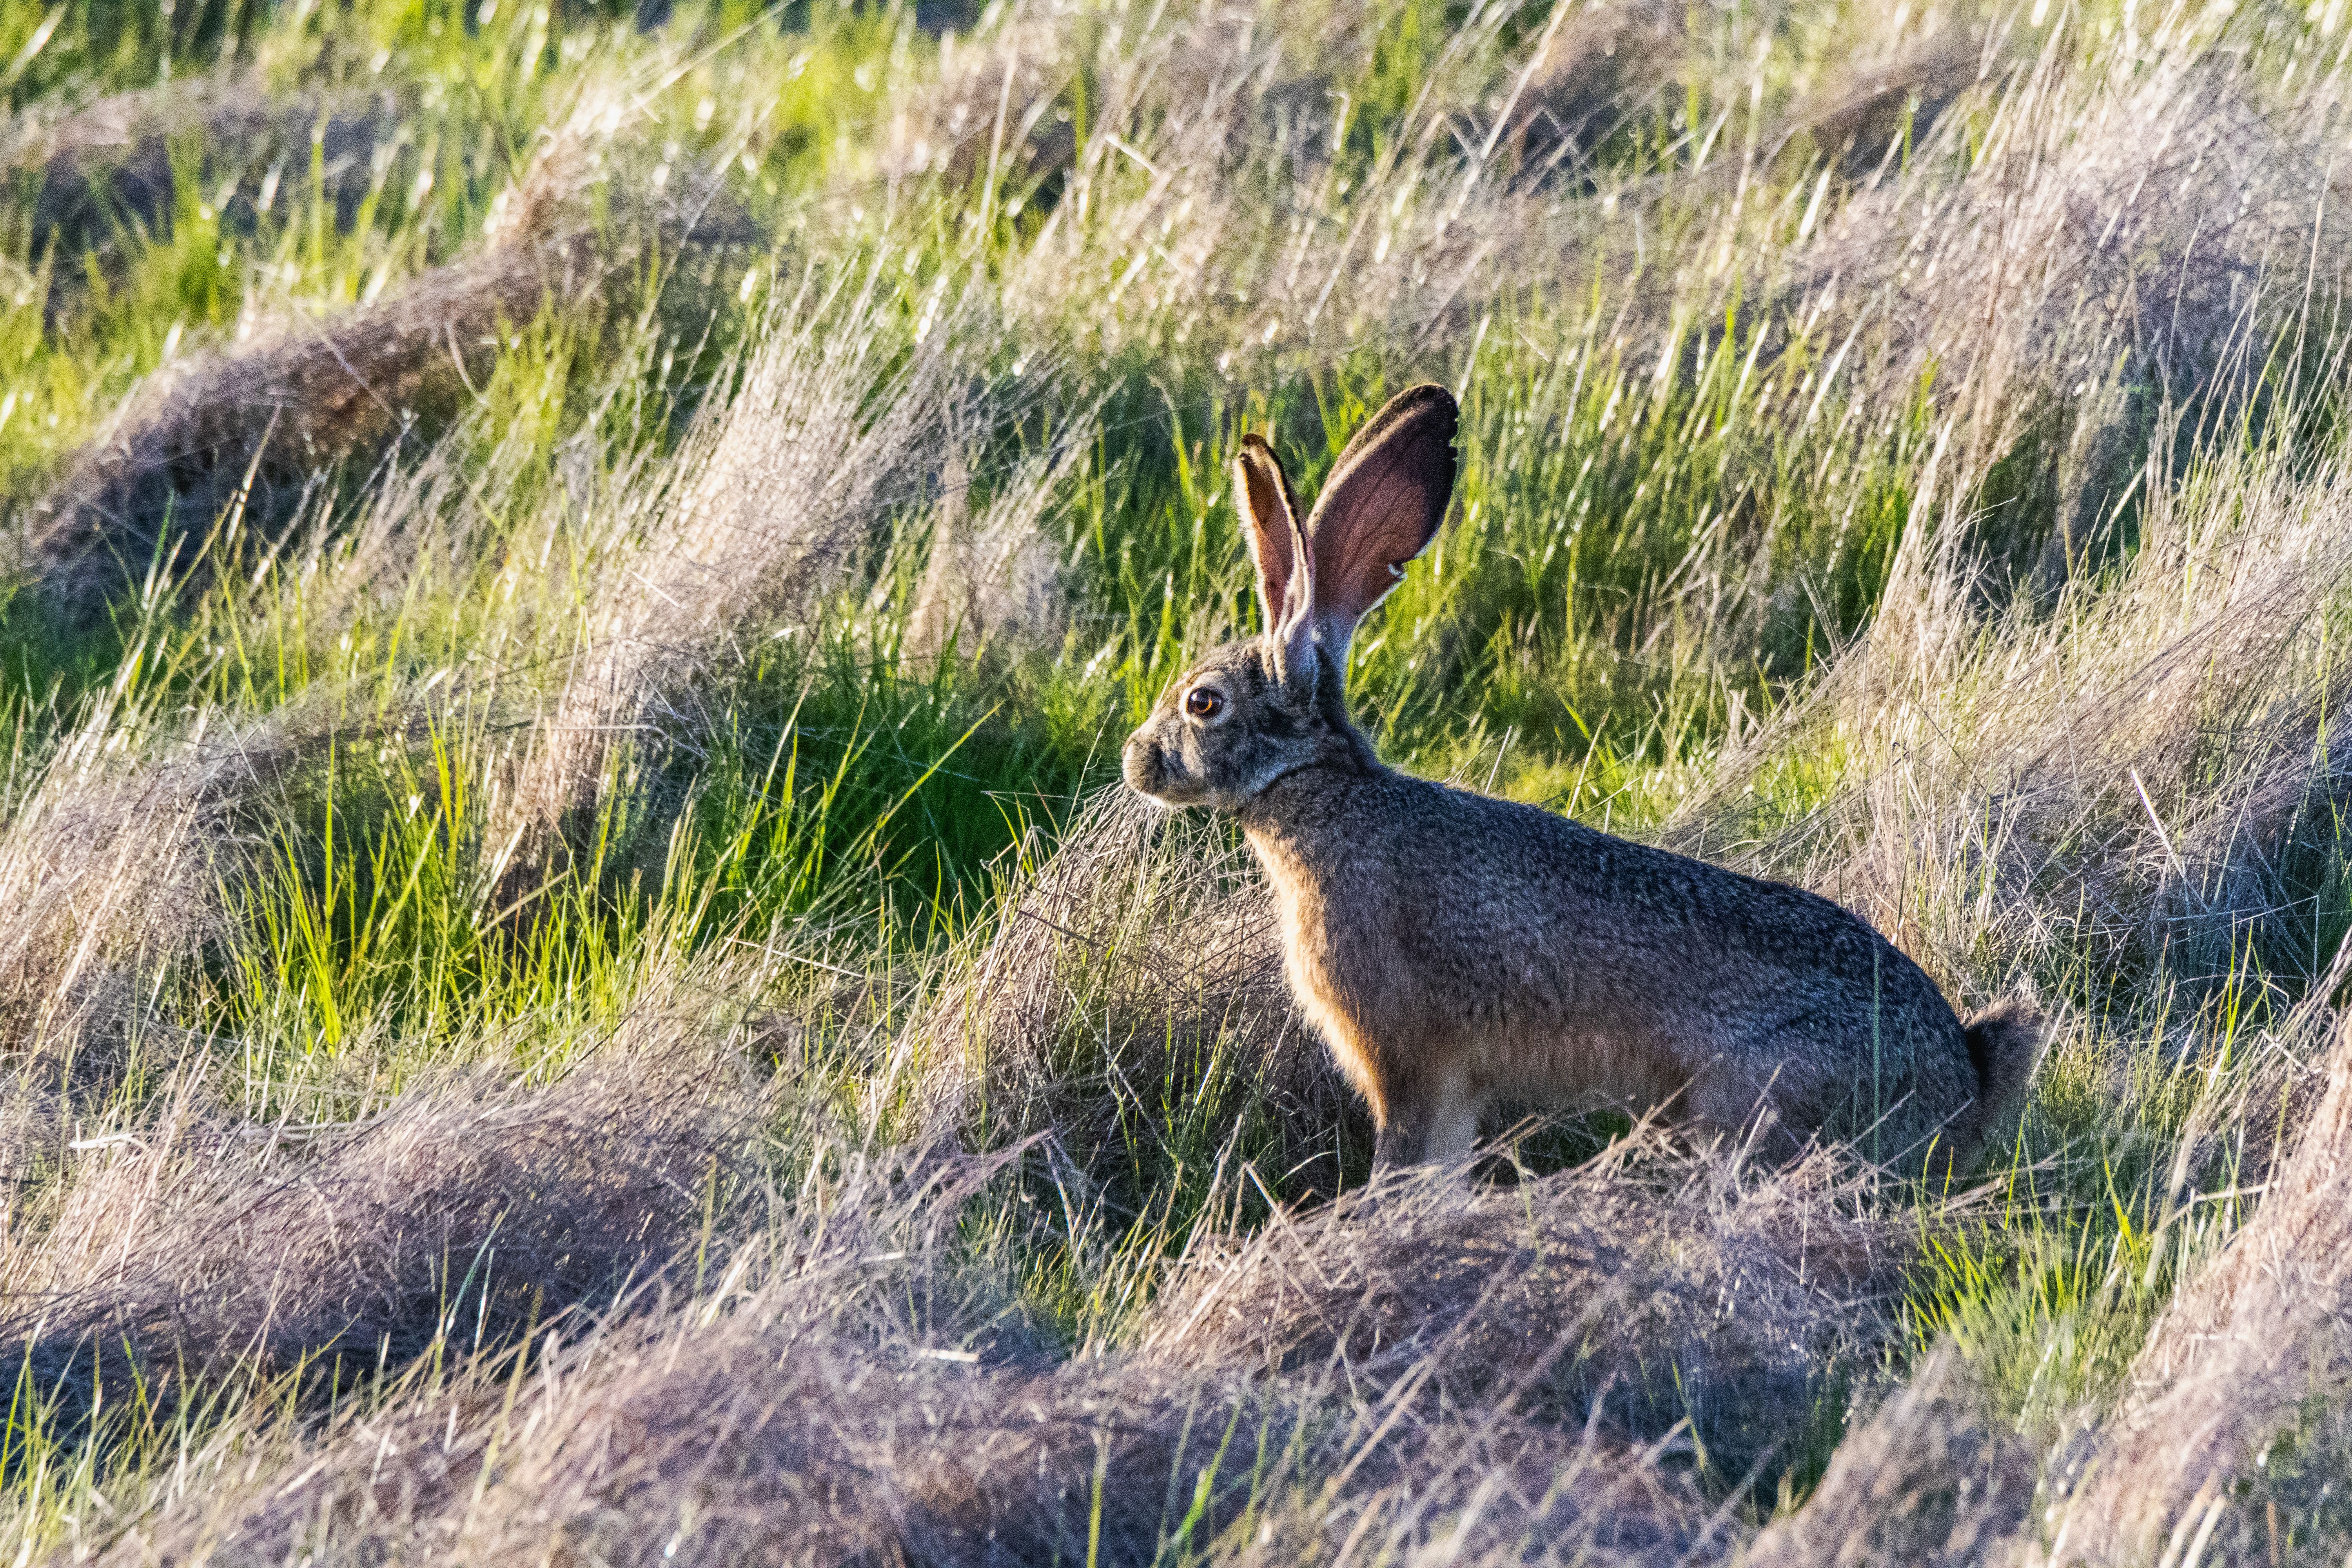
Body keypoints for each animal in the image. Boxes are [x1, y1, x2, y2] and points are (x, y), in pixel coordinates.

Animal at [1121, 383, 2043, 1176]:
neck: (1323, 795)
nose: (1136, 760)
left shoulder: (1411, 1060)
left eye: (1203, 703)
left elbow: (1409, 1158)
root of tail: (1964, 1085)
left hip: (1758, 1103)